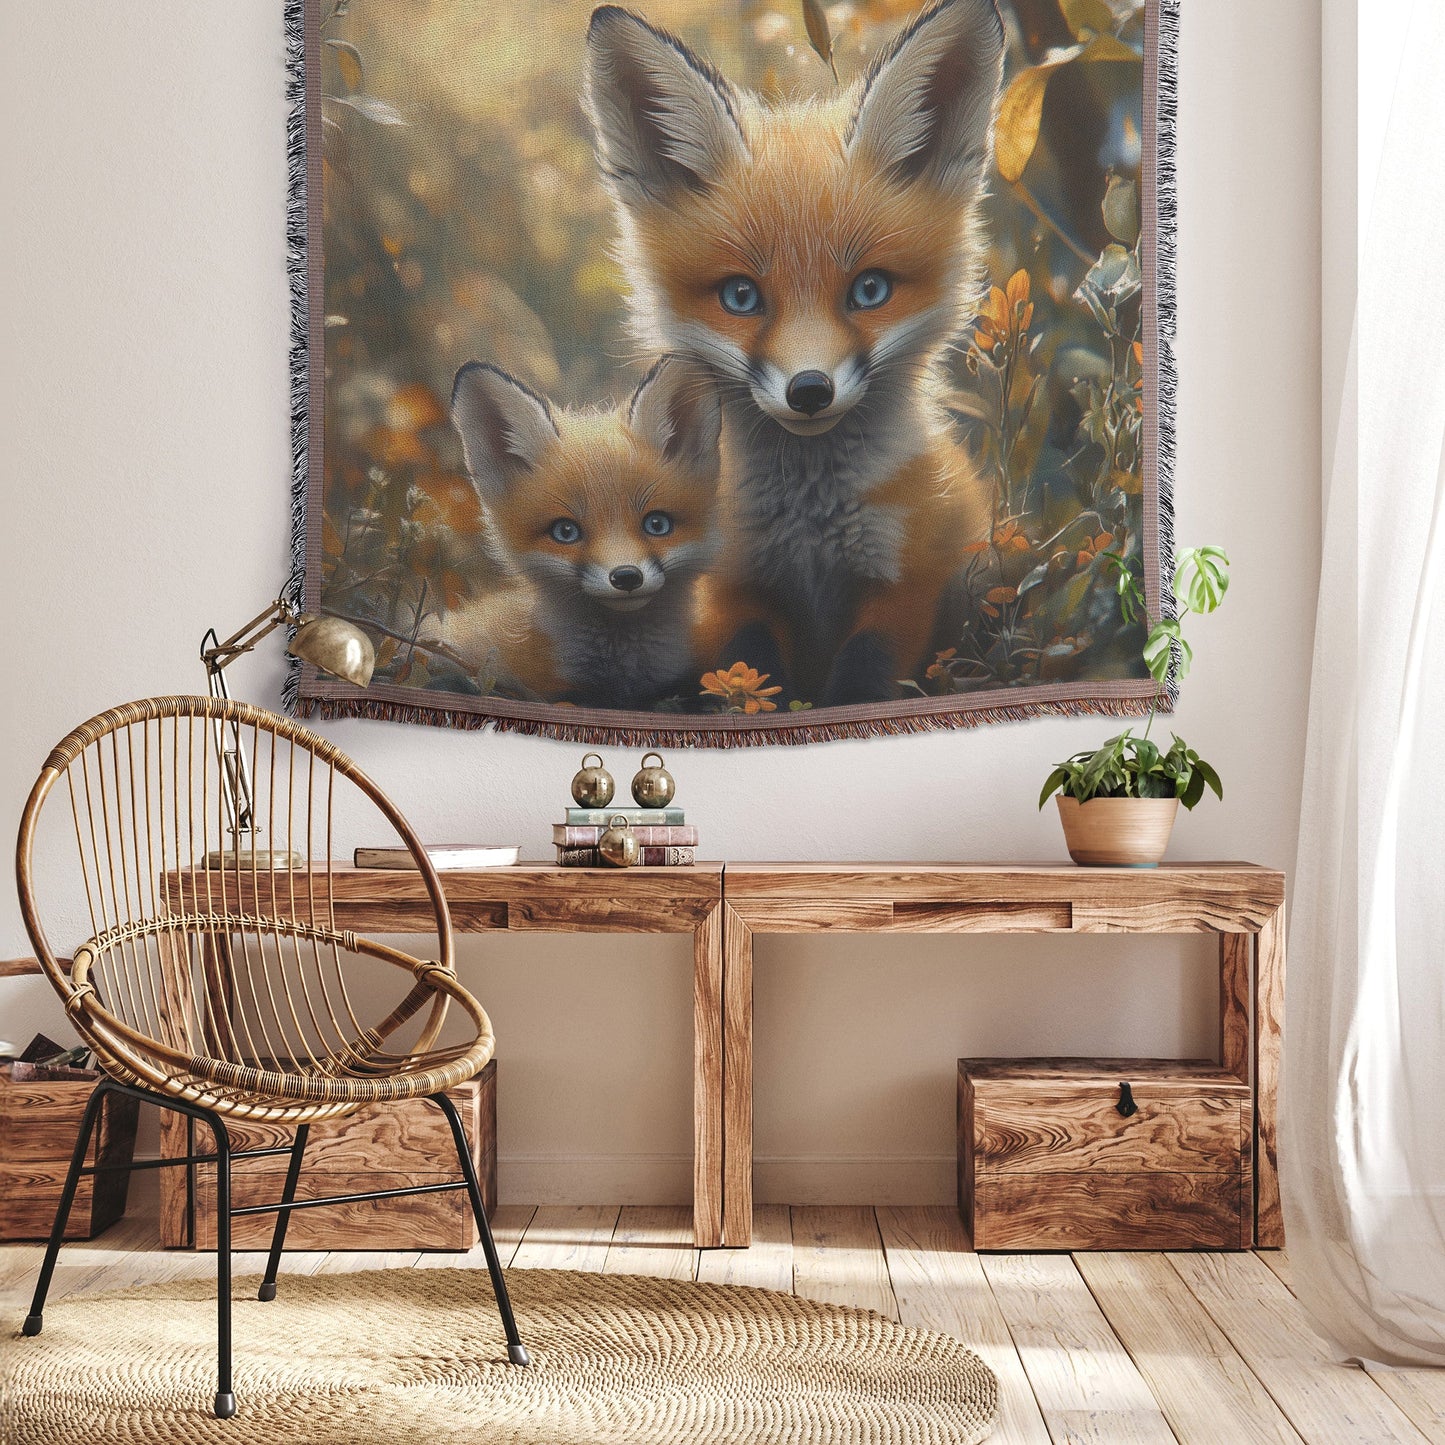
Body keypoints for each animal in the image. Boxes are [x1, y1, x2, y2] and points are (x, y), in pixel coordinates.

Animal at [583, 0, 1005, 704]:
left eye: (869, 289)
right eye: (741, 296)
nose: (809, 390)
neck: (811, 536)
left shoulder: (904, 586)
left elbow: (862, 682)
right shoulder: (733, 592)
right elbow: (750, 679)